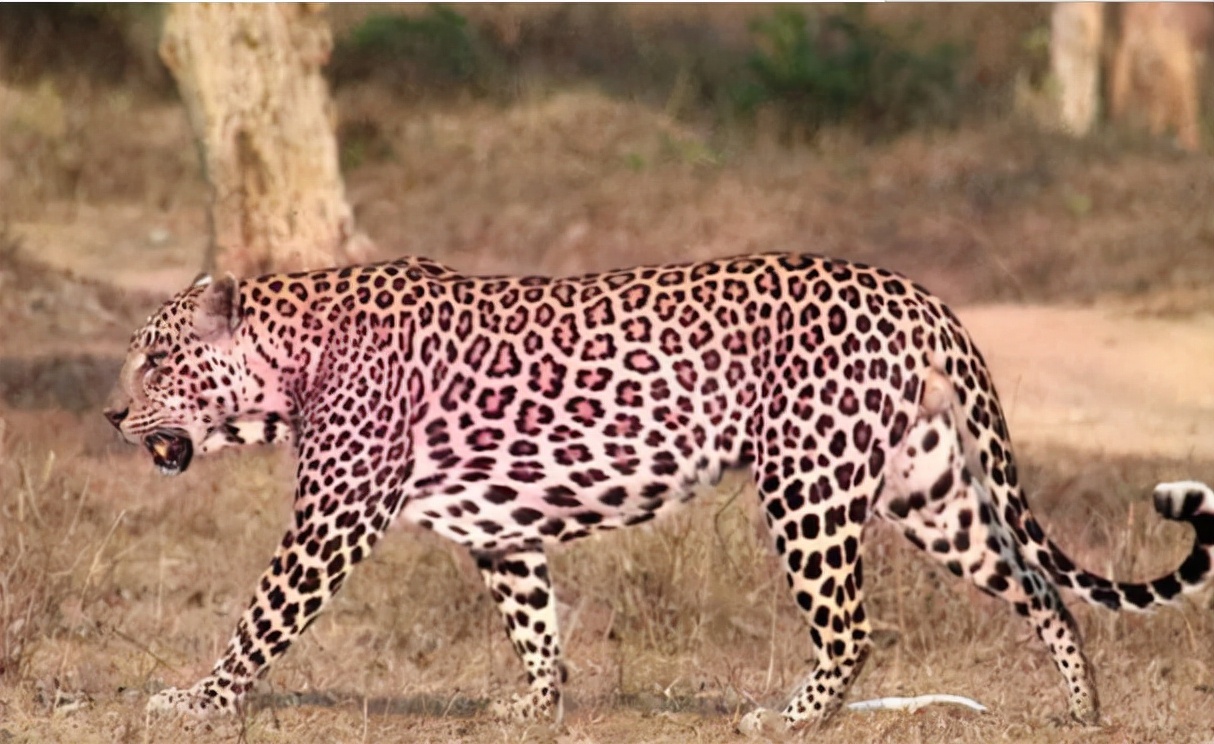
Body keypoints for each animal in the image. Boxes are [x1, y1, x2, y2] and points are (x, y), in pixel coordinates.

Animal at [104, 252, 1214, 733]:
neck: (289, 360)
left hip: (808, 484)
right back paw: (1081, 708)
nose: (112, 415)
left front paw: (197, 699)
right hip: (929, 487)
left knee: (854, 626)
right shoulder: (500, 524)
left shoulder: (333, 515)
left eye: (155, 358)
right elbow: (533, 617)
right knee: (1042, 588)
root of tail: (915, 294)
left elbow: (262, 617)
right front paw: (536, 703)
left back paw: (789, 717)